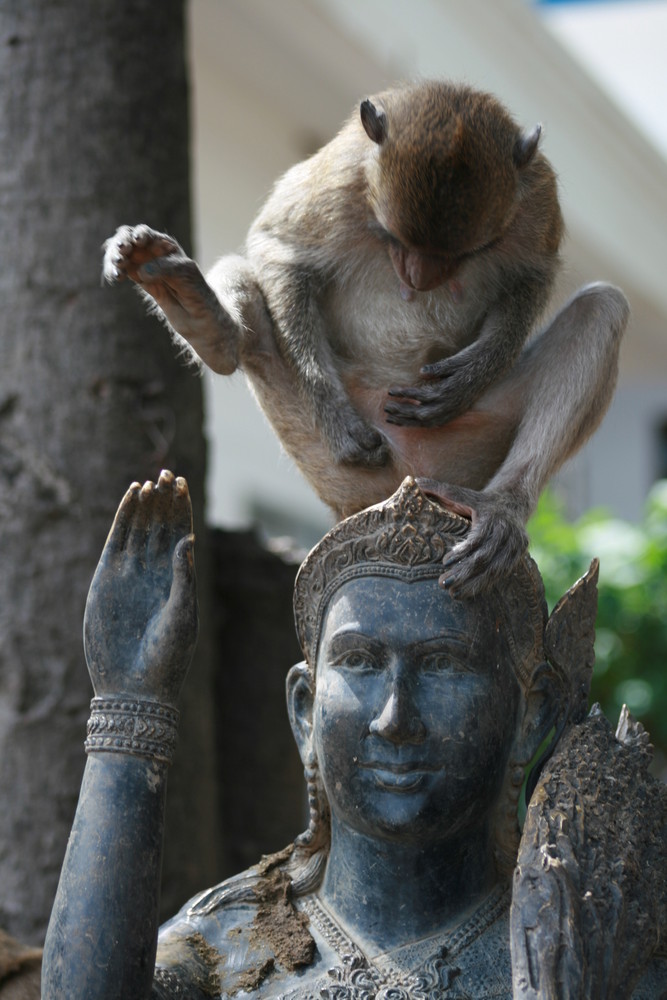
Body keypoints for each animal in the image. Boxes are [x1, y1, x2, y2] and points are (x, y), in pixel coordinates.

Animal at [102, 80, 628, 597]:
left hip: (468, 449)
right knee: (246, 306)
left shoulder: (538, 197)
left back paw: (500, 508)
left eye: (465, 254)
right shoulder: (340, 173)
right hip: (320, 453)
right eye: (398, 240)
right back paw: (205, 320)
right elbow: (279, 248)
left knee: (602, 309)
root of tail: (399, 484)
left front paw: (476, 372)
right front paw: (333, 409)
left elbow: (534, 274)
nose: (419, 279)